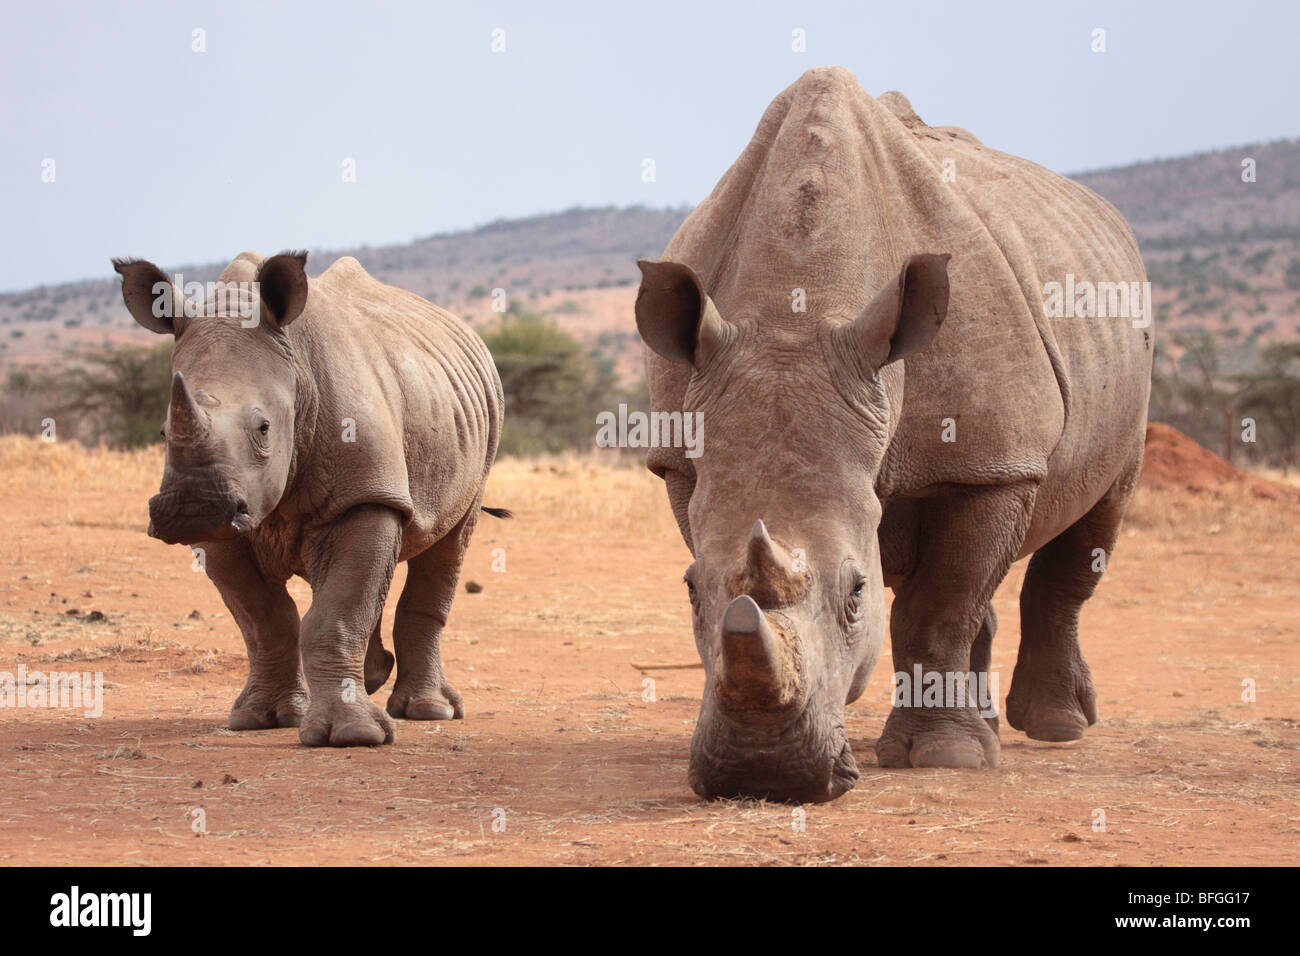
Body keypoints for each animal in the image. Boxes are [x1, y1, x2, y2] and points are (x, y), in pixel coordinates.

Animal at [113, 250, 506, 746]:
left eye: (263, 428)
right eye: (164, 432)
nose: (192, 511)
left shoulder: (366, 495)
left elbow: (335, 614)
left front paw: (352, 735)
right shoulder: (227, 527)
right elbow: (265, 619)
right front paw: (260, 718)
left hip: (484, 426)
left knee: (450, 542)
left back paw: (429, 710)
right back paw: (373, 678)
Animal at [635, 67, 1152, 802]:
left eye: (857, 592)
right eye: (685, 588)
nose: (765, 776)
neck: (797, 315)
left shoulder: (991, 462)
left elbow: (939, 606)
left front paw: (945, 757)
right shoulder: (684, 463)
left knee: (1092, 521)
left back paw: (1055, 728)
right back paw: (991, 729)